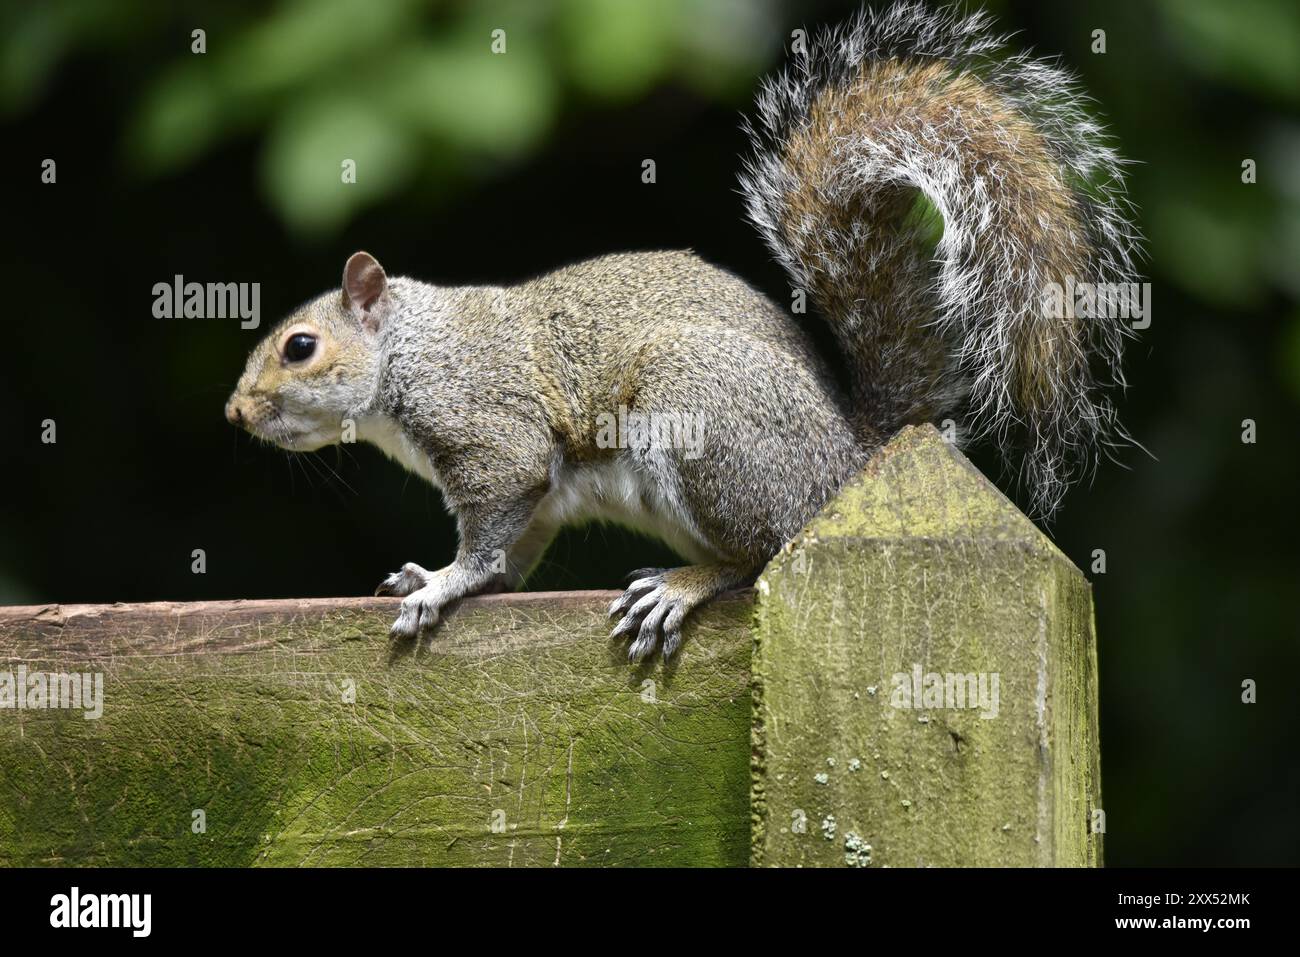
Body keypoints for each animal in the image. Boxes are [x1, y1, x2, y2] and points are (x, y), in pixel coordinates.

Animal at [225, 3, 1141, 661]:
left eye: (300, 347)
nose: (236, 412)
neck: (412, 350)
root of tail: (851, 460)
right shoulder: (538, 496)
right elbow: (517, 551)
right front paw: (436, 573)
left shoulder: (491, 428)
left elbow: (489, 533)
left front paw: (443, 584)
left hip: (699, 406)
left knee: (758, 554)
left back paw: (682, 584)